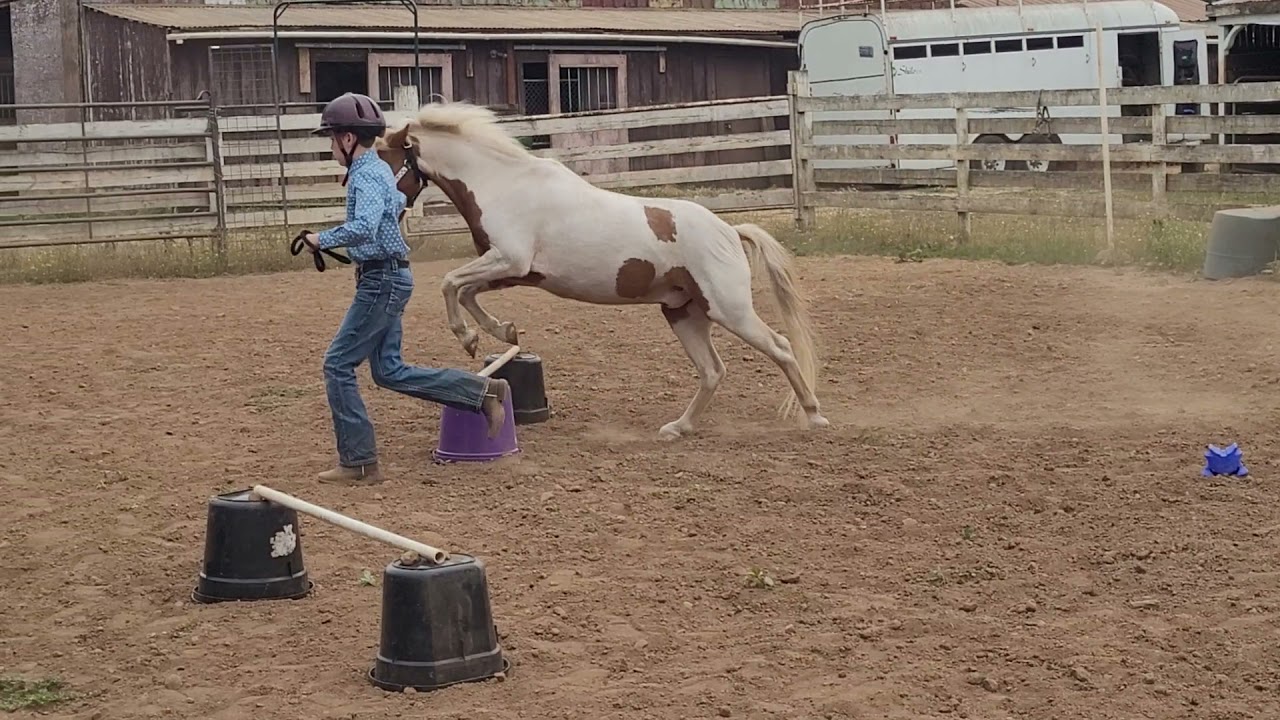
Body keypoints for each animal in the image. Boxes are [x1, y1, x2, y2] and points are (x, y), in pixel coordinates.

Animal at [373, 100, 829, 440]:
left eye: (381, 157)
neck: (503, 183)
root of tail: (731, 232)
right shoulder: (511, 271)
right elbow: (465, 291)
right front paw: (500, 333)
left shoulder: (509, 259)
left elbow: (451, 283)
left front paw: (470, 337)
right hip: (683, 312)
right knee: (713, 371)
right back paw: (678, 428)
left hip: (728, 309)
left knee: (780, 348)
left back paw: (814, 415)